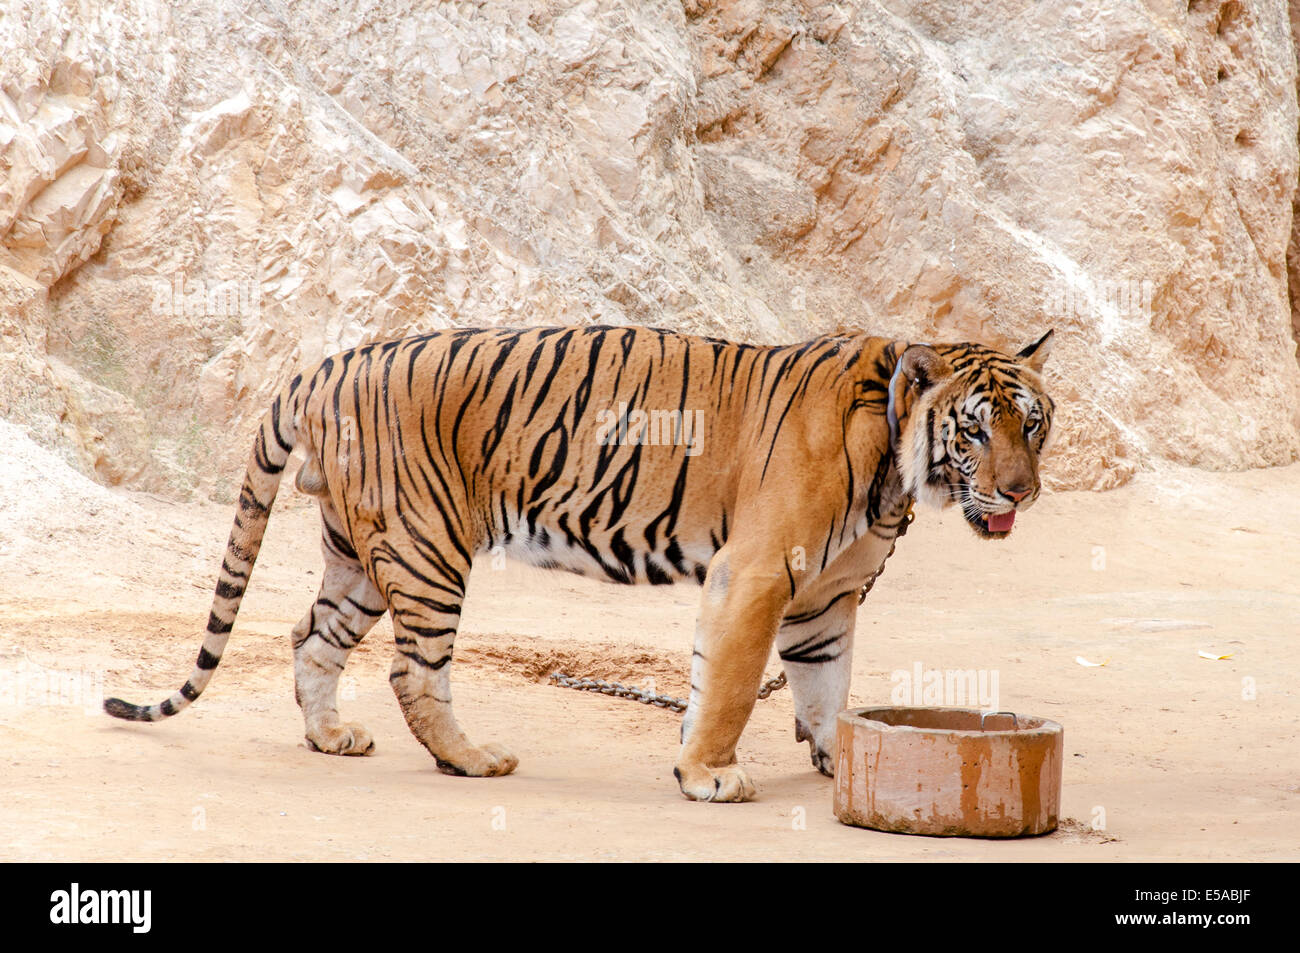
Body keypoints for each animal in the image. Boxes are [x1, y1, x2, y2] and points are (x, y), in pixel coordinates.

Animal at [104, 325, 1055, 803]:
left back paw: (330, 735)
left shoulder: (828, 596)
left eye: (1033, 422)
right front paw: (708, 773)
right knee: (415, 672)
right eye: (976, 428)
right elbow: (731, 683)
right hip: (427, 546)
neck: (900, 468)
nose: (1023, 489)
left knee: (312, 637)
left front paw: (839, 760)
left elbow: (826, 685)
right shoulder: (756, 573)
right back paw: (474, 759)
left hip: (362, 556)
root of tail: (319, 368)